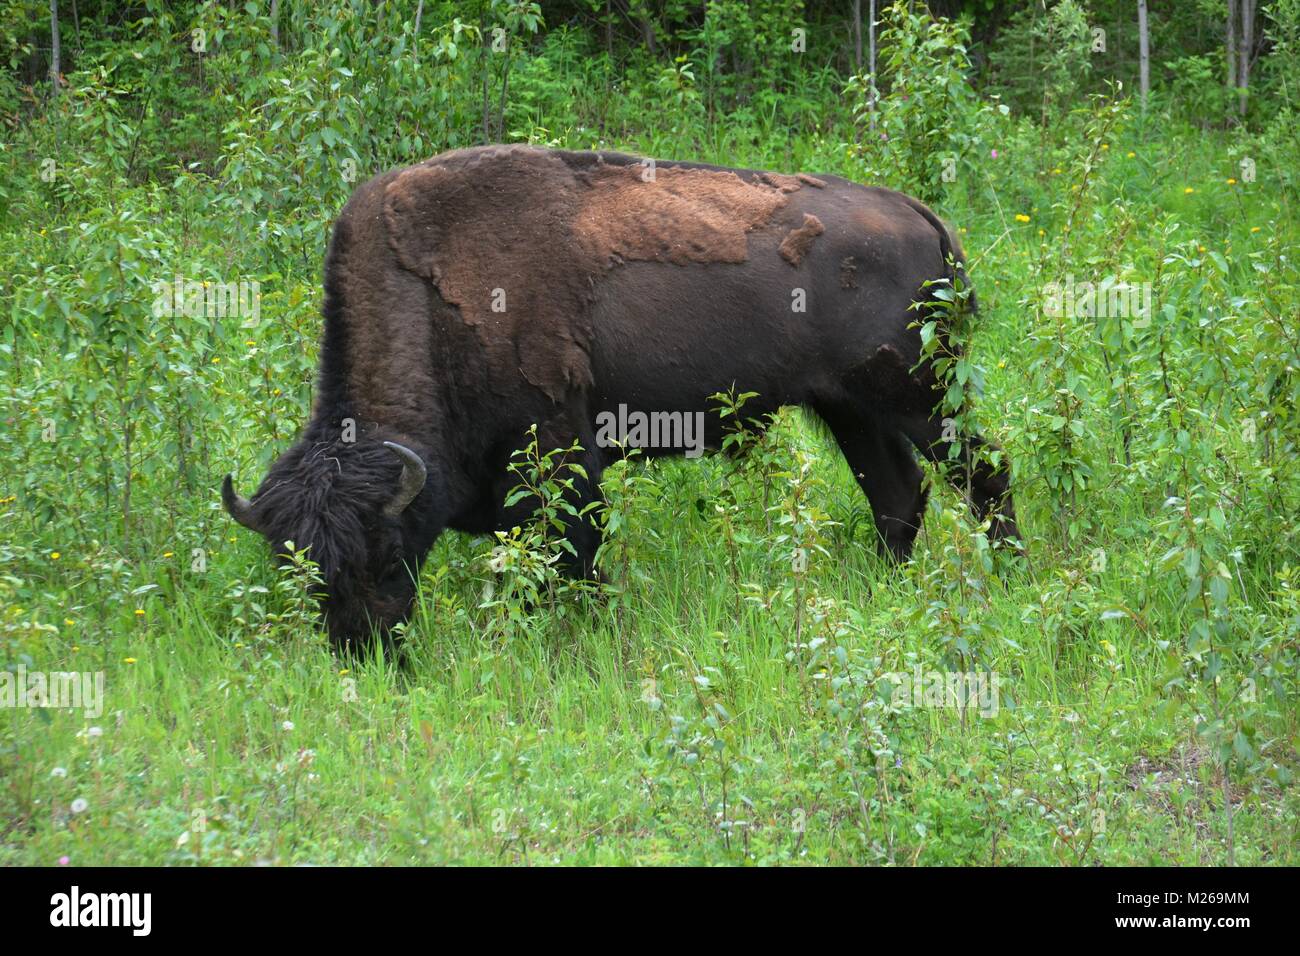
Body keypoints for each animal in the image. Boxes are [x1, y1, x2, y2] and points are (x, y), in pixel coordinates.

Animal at [222, 145, 1018, 649]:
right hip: (852, 410)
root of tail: (921, 215)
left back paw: (1008, 578)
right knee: (897, 494)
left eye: (388, 553)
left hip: (922, 402)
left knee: (984, 472)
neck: (435, 306)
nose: (363, 648)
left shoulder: (560, 454)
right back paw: (885, 588)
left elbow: (574, 553)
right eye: (296, 571)